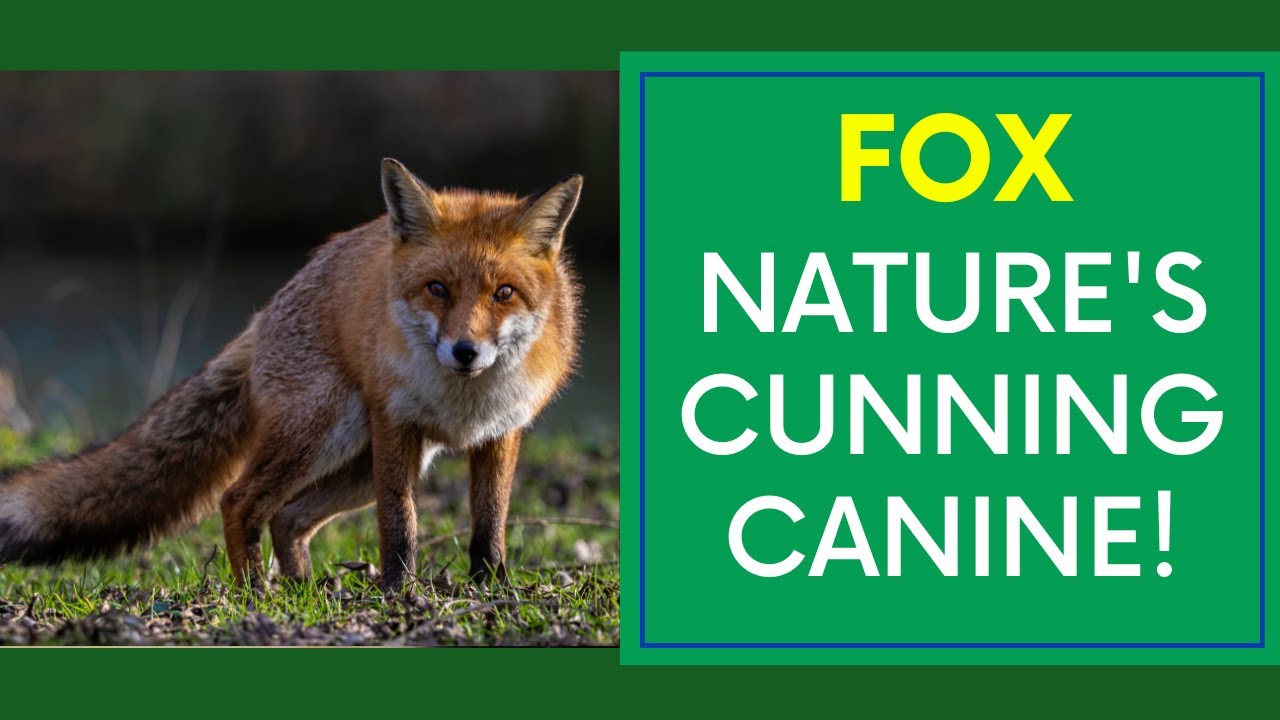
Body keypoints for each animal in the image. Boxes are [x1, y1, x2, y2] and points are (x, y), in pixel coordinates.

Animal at [0, 158, 584, 593]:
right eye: (437, 288)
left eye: (503, 292)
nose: (465, 351)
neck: (463, 401)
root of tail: (263, 316)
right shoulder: (395, 423)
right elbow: (400, 524)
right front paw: (400, 592)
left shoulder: (501, 431)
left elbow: (490, 522)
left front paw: (492, 587)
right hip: (329, 432)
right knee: (240, 500)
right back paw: (255, 592)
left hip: (361, 463)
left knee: (288, 516)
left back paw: (304, 587)